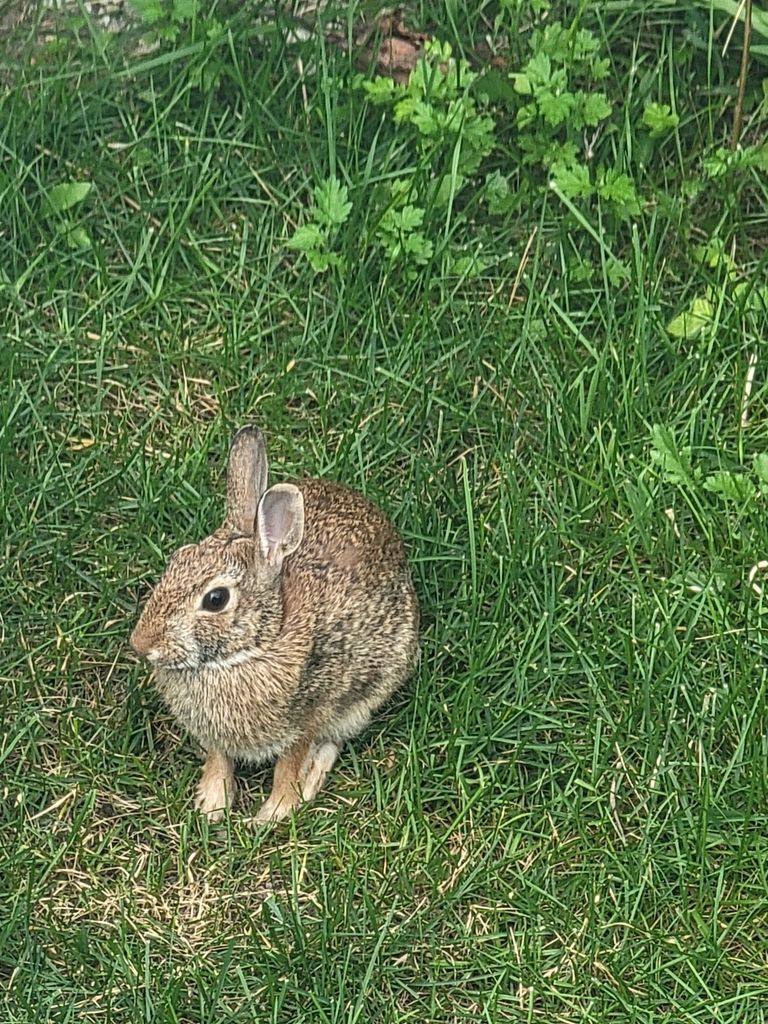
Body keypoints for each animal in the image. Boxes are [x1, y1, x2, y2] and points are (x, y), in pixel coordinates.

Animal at [129, 425, 419, 823]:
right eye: (177, 560)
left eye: (215, 599)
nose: (141, 644)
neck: (255, 645)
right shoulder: (217, 735)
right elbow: (219, 758)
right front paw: (212, 804)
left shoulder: (309, 716)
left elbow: (290, 762)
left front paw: (274, 813)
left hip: (368, 691)